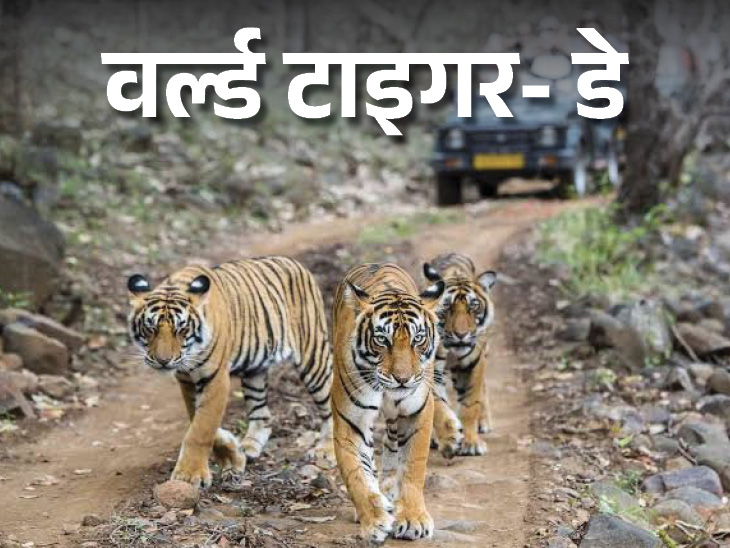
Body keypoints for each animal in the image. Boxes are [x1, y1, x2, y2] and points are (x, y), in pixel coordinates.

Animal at [126, 256, 333, 488]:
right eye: (150, 329)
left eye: (182, 329)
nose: (163, 361)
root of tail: (294, 263)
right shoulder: (187, 380)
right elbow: (197, 419)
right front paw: (232, 455)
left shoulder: (215, 378)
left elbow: (201, 428)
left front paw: (189, 475)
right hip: (254, 370)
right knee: (262, 414)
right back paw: (250, 447)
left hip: (313, 355)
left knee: (330, 402)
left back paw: (327, 450)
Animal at [331, 263, 445, 544]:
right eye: (382, 340)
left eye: (418, 339)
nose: (402, 379)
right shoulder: (350, 421)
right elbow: (356, 474)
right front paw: (374, 521)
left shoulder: (417, 412)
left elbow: (413, 467)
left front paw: (413, 519)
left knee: (393, 444)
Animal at [423, 253, 497, 457]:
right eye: (447, 308)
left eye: (474, 307)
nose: (461, 335)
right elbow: (438, 406)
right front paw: (449, 439)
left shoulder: (473, 364)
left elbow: (470, 404)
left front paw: (471, 443)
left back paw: (484, 423)